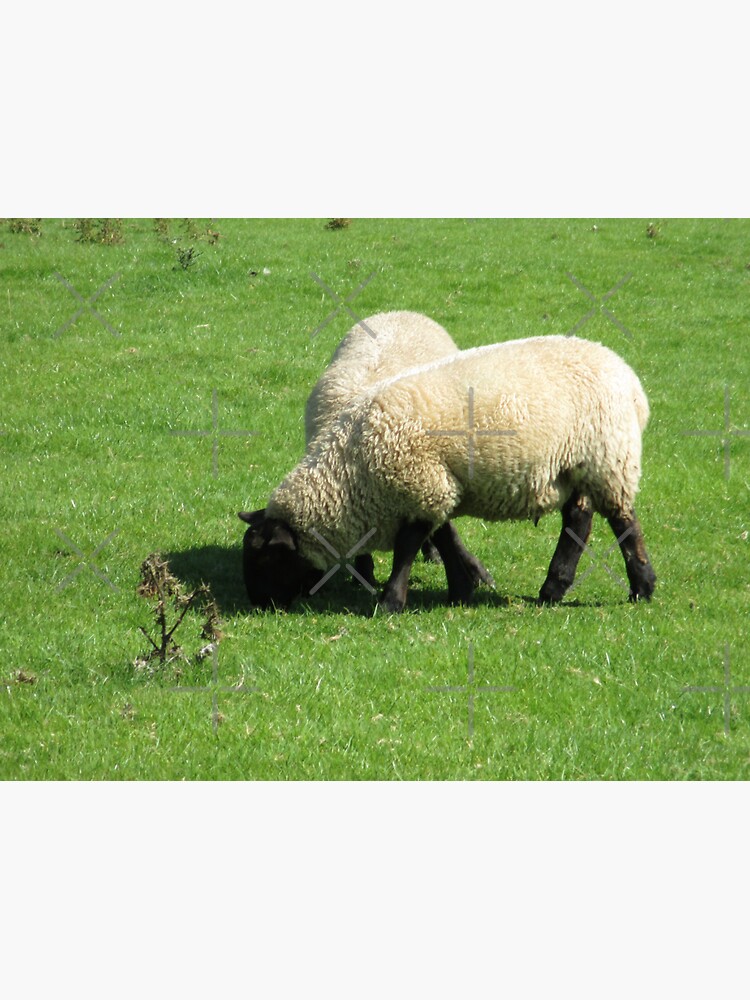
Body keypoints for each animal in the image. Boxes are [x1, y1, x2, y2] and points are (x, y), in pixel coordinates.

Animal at [241, 334, 656, 612]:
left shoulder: (420, 484)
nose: (258, 605)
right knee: (578, 519)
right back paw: (553, 589)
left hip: (607, 457)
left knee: (623, 522)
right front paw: (461, 590)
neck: (350, 470)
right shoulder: (433, 487)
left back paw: (641, 587)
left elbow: (408, 547)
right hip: (575, 466)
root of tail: (629, 378)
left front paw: (391, 602)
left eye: (267, 558)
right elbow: (441, 537)